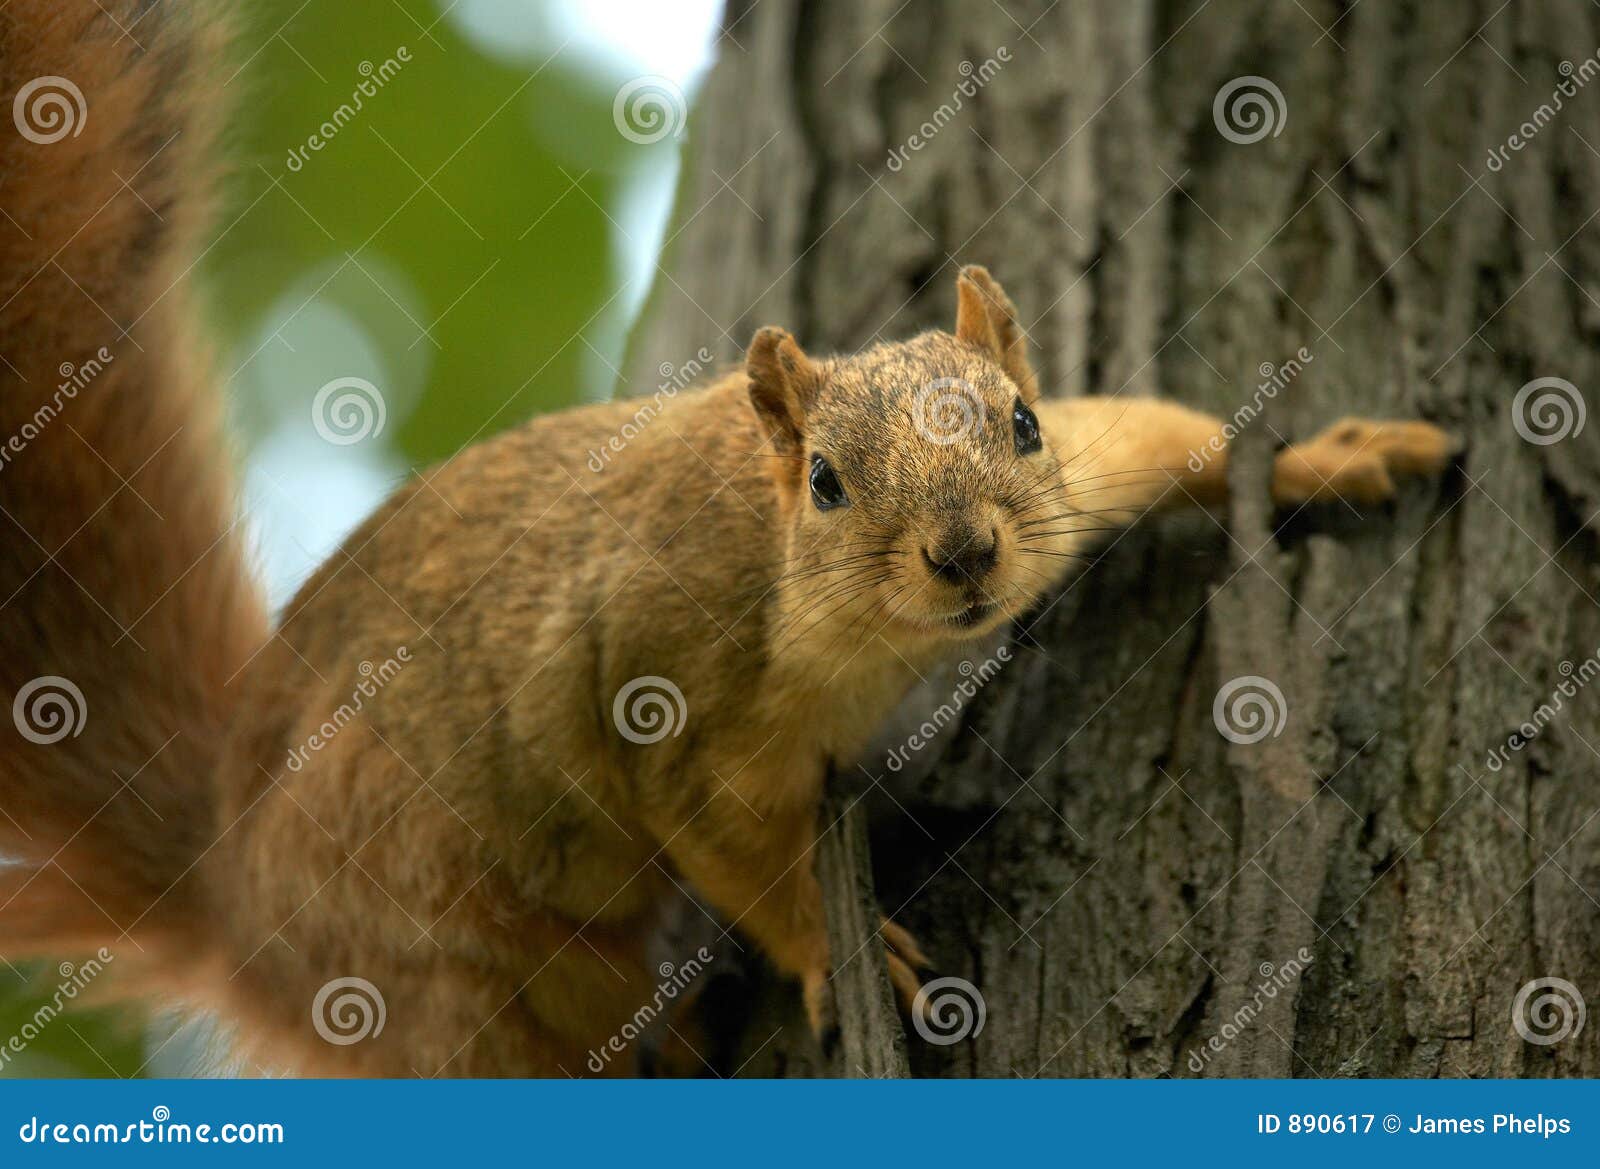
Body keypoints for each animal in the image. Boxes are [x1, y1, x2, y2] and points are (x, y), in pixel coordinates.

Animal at [0, 1, 1457, 1076]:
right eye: (825, 482)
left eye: (1023, 421)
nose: (967, 556)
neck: (848, 622)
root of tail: (235, 899)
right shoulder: (684, 700)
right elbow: (737, 853)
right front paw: (837, 956)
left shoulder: (1079, 482)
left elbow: (1164, 437)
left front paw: (1333, 455)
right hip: (447, 952)